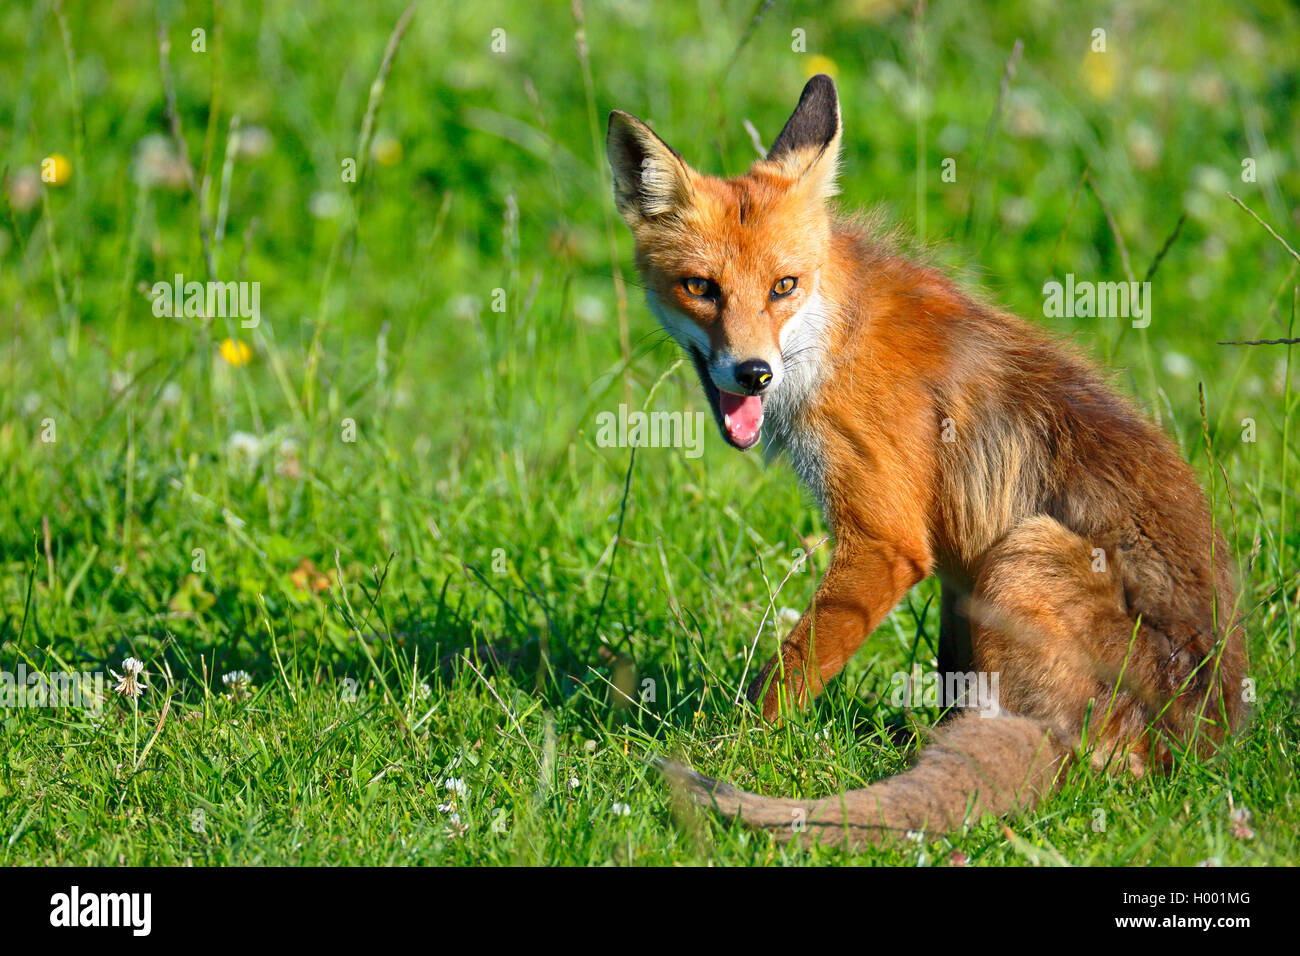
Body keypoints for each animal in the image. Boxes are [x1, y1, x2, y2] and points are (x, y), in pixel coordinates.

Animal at [606, 74, 1249, 846]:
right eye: (700, 287)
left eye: (783, 286)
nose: (753, 373)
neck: (833, 337)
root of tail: (1201, 742)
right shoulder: (951, 571)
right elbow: (944, 666)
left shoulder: (887, 544)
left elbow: (785, 678)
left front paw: (735, 747)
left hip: (1027, 552)